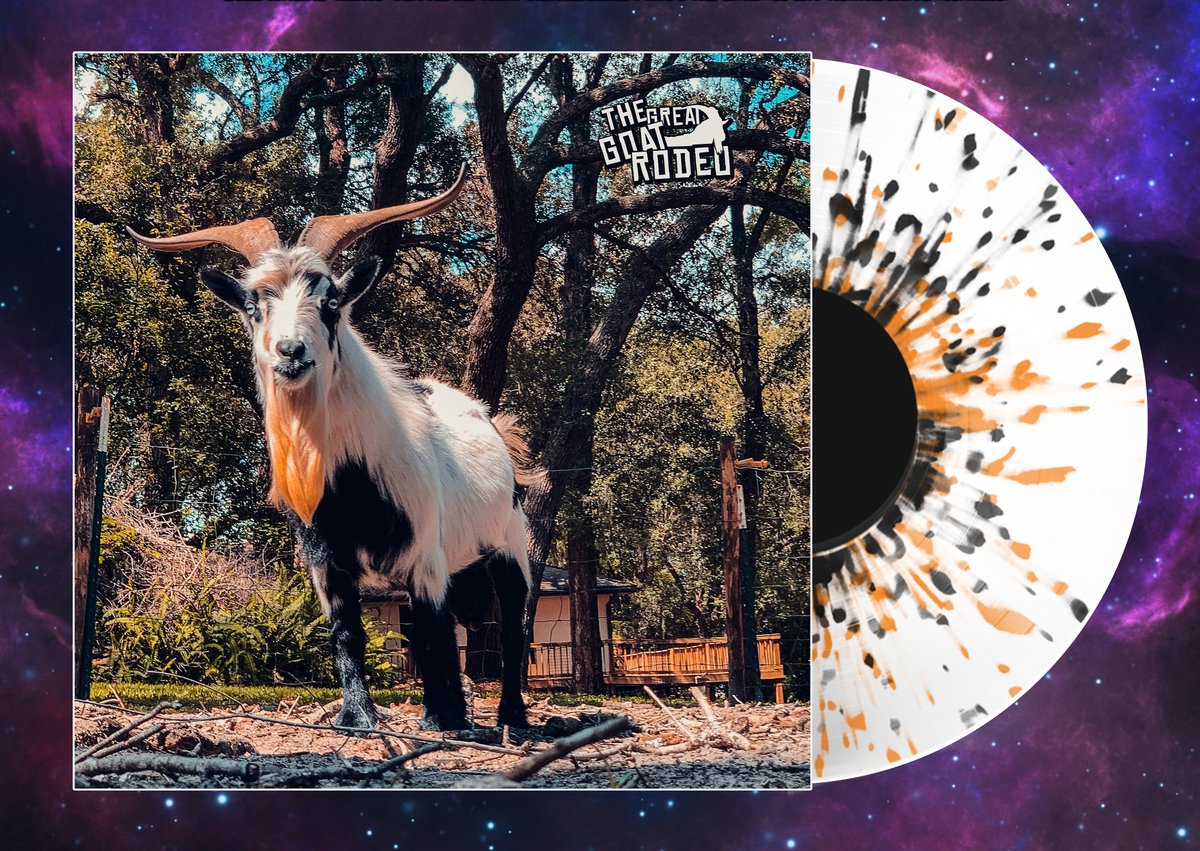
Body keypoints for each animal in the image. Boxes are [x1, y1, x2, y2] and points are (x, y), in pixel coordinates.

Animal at [127, 167, 536, 732]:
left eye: (331, 302)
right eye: (254, 306)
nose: (291, 351)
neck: (353, 485)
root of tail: (494, 424)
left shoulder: (424, 554)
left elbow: (432, 633)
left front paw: (443, 719)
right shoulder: (325, 560)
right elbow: (348, 635)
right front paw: (357, 716)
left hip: (510, 543)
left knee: (514, 625)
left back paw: (512, 718)